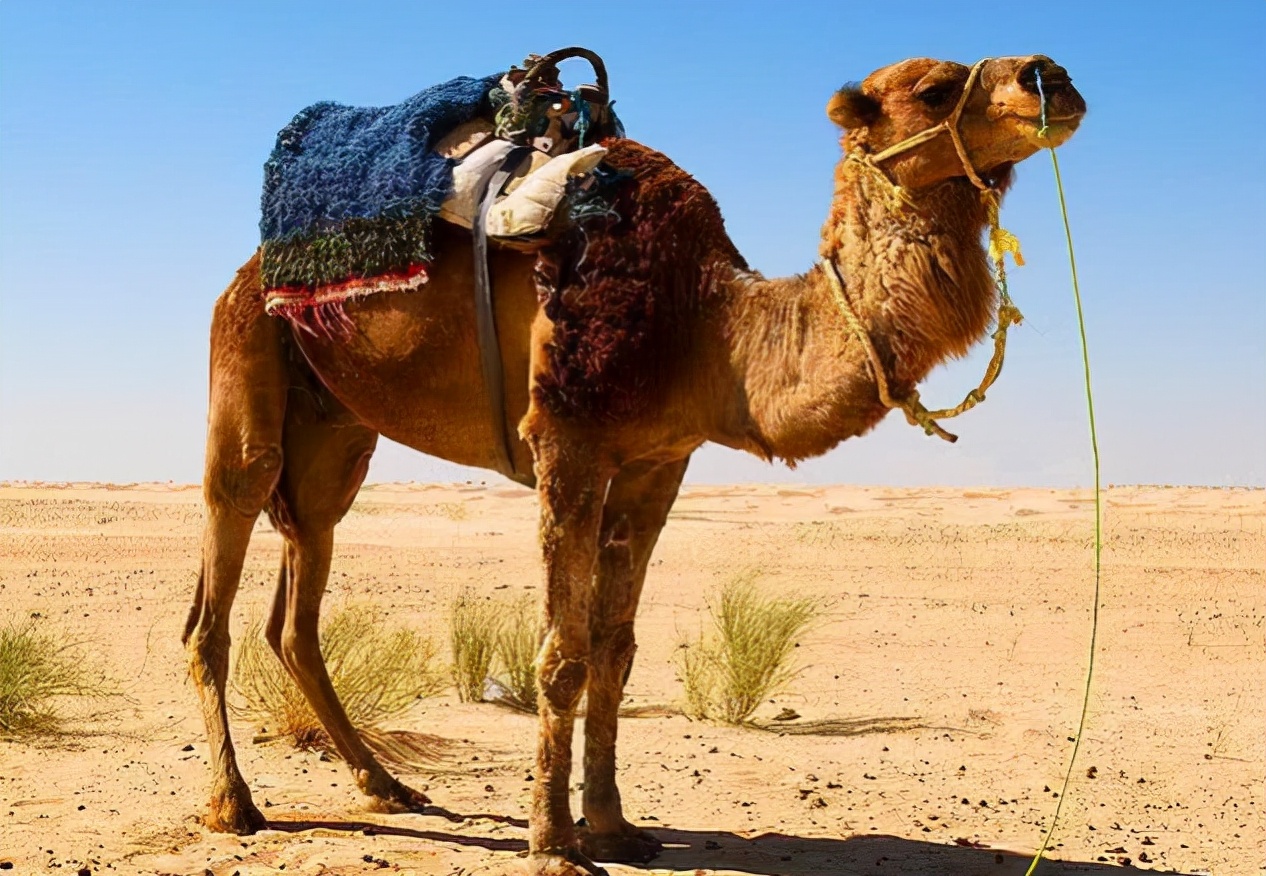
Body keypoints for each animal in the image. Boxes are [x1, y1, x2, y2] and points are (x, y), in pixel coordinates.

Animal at [183, 54, 1085, 876]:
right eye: (936, 90)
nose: (1053, 77)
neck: (705, 323)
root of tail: (249, 269)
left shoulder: (659, 465)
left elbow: (614, 650)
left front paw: (615, 829)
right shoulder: (568, 440)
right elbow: (563, 655)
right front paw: (554, 844)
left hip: (336, 437)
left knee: (298, 609)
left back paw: (386, 784)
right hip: (247, 369)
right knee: (218, 582)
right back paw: (234, 804)